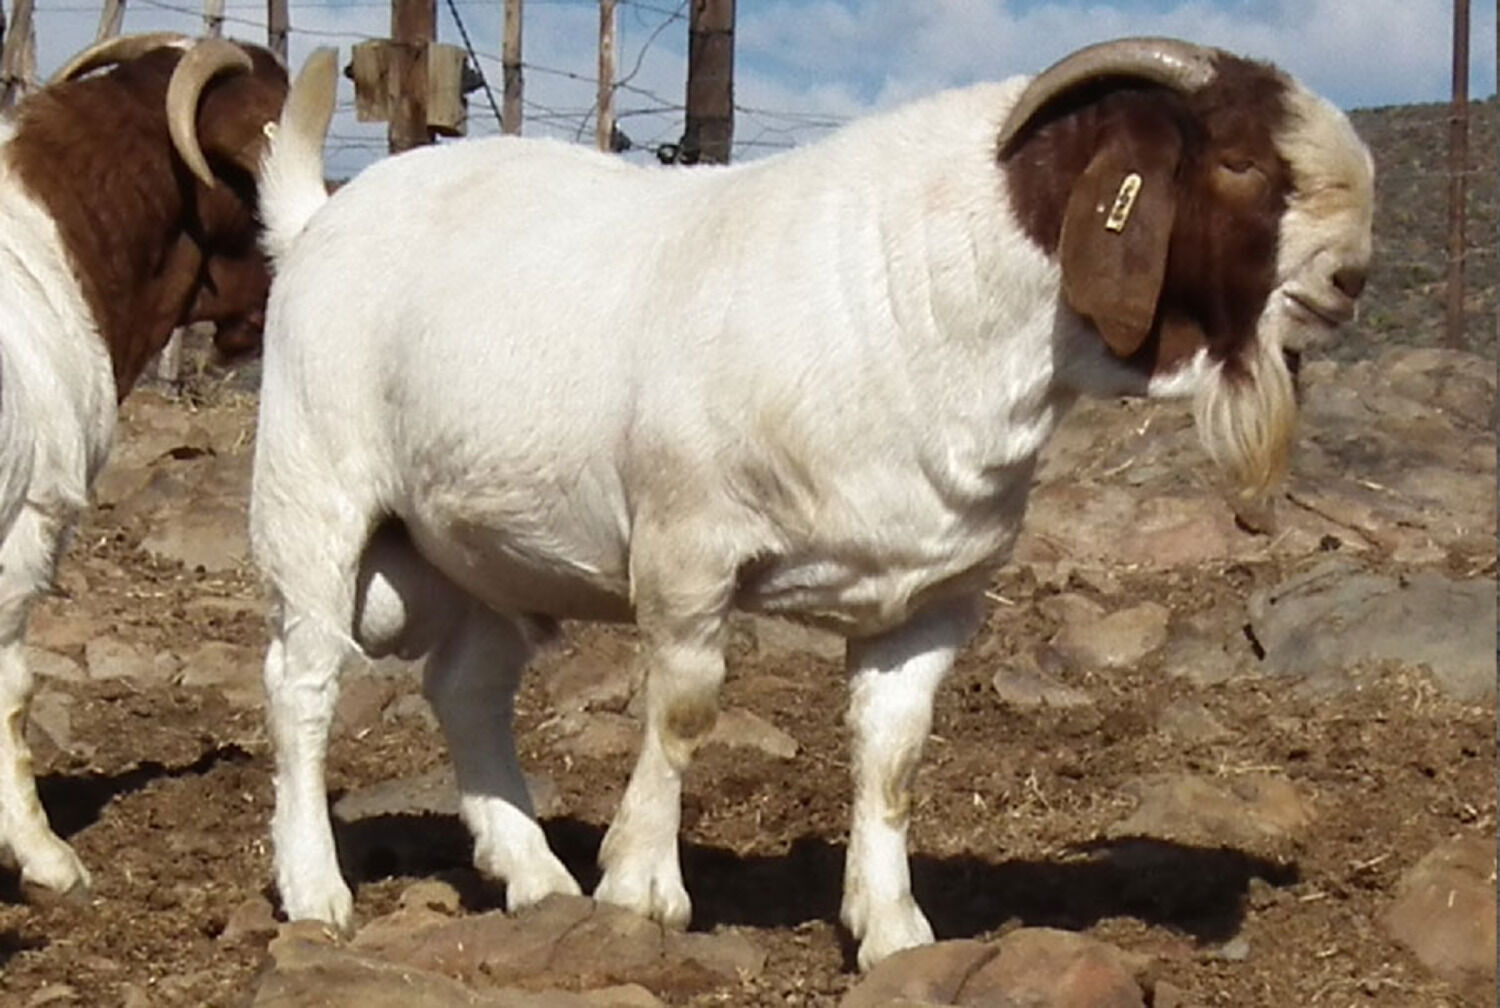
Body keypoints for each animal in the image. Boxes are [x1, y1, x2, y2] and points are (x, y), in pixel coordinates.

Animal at [251, 39, 1374, 968]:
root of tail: (317, 215)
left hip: (483, 550)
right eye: (1240, 164)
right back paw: (317, 891)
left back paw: (533, 876)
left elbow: (894, 758)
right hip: (314, 489)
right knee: (302, 681)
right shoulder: (687, 548)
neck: (921, 295)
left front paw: (894, 930)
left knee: (467, 689)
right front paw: (642, 890)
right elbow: (684, 711)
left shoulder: (932, 599)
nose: (1352, 279)